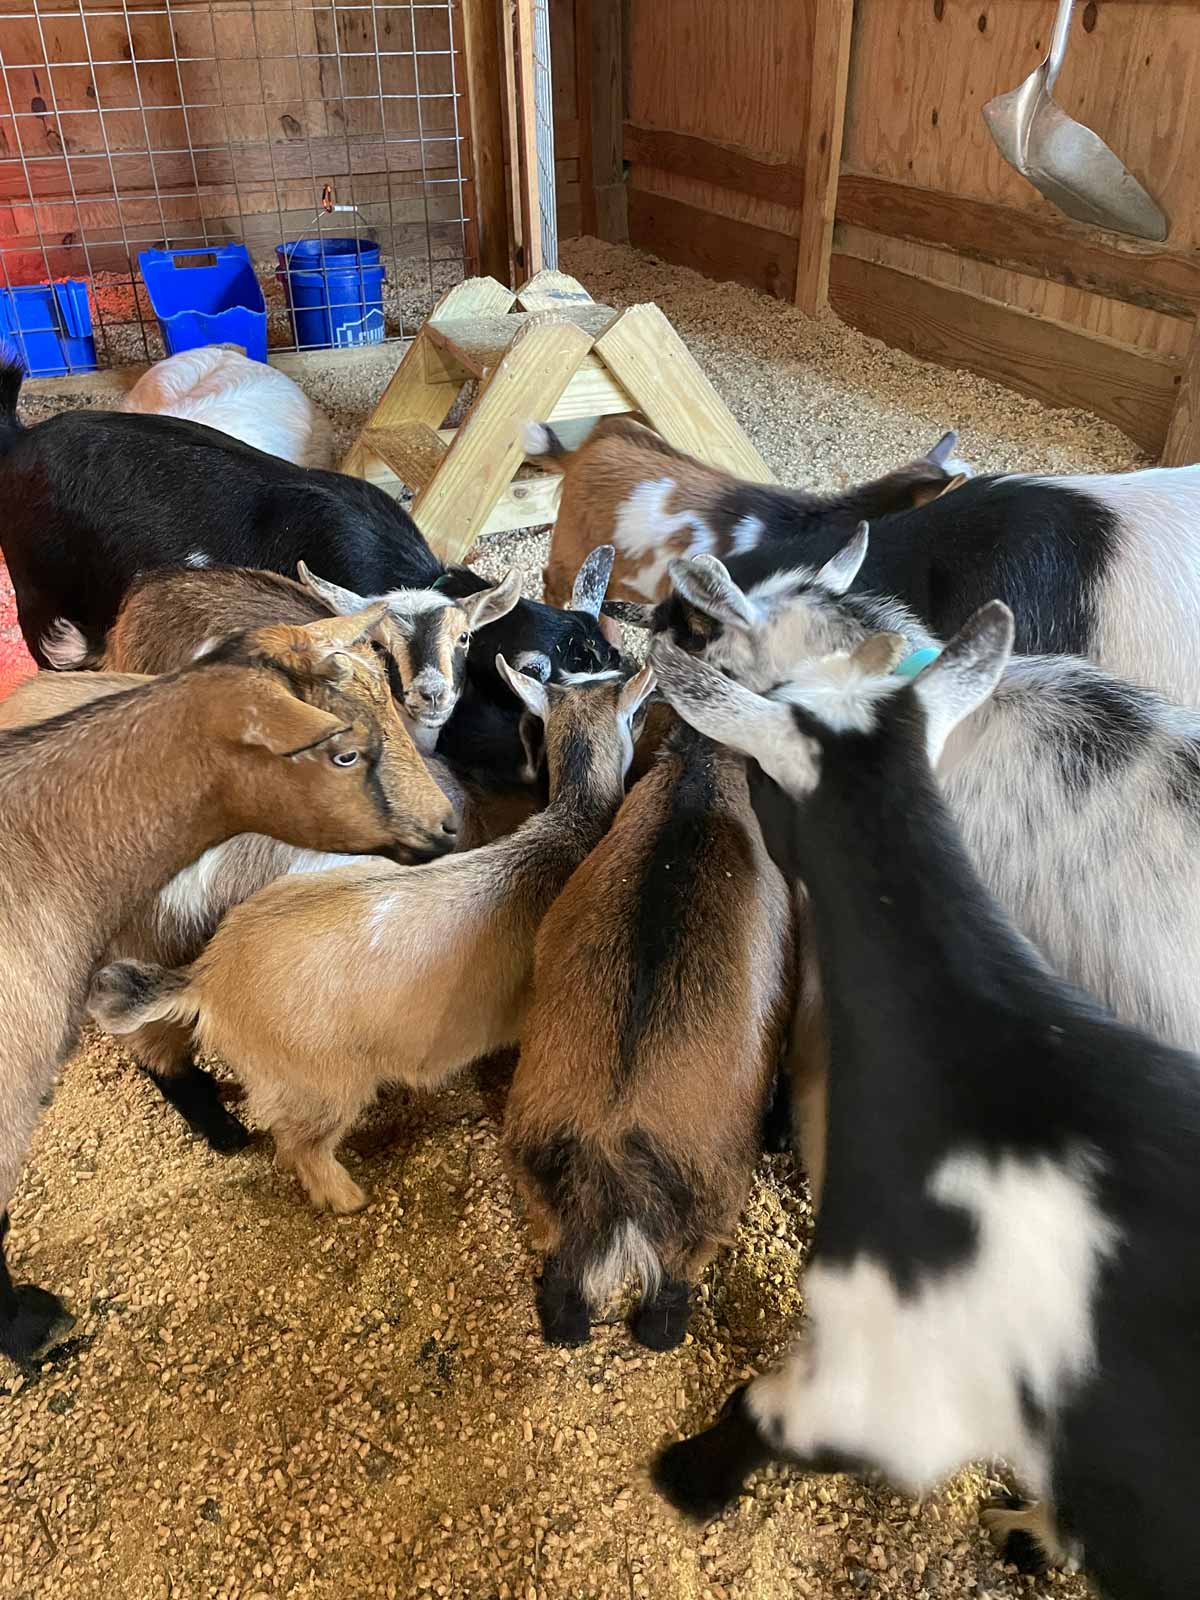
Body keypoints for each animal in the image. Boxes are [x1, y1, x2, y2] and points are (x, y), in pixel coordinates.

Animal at [90, 652, 656, 1215]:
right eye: (639, 714)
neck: (566, 828)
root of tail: (205, 977)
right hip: (321, 1084)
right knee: (300, 1146)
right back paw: (346, 1196)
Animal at [505, 710, 793, 1350]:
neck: (696, 775)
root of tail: (610, 1138)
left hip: (537, 1166)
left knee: (559, 1269)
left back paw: (565, 1327)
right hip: (713, 1189)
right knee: (677, 1274)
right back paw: (663, 1327)